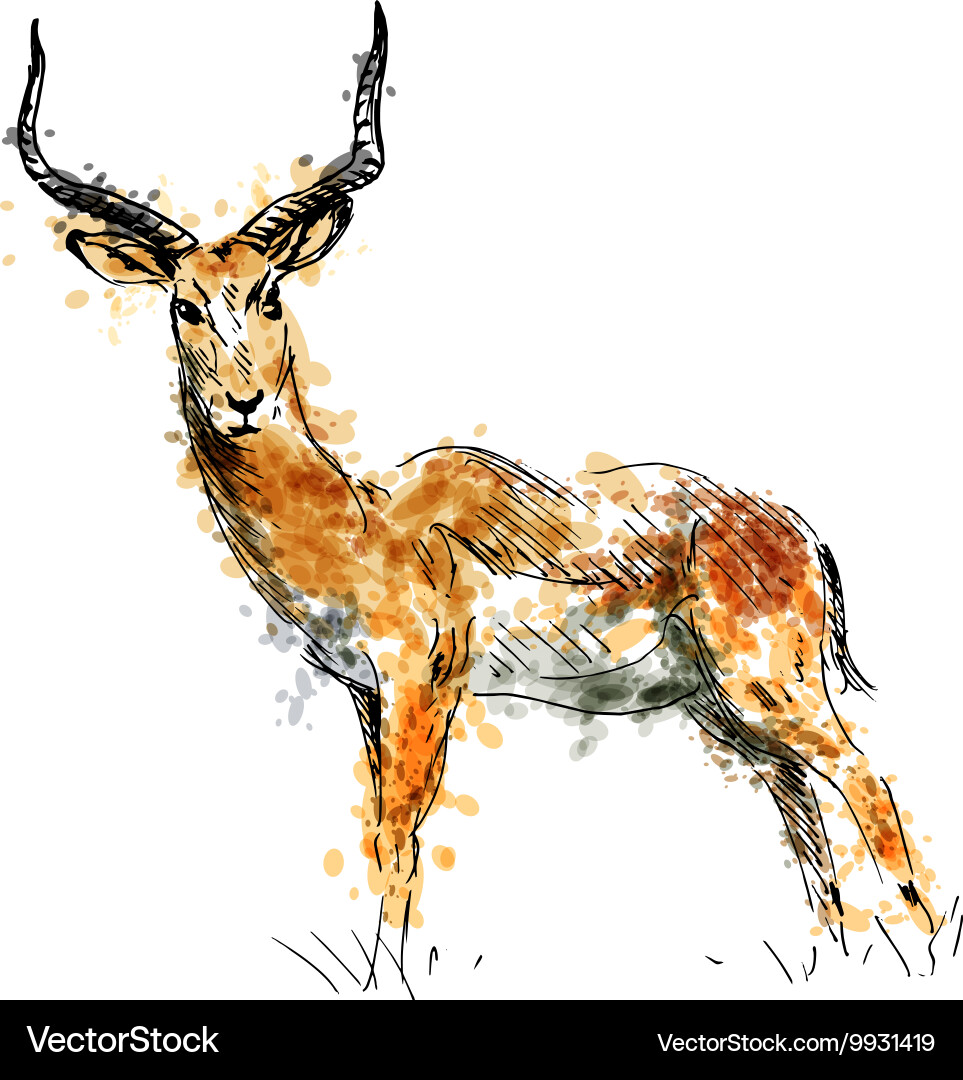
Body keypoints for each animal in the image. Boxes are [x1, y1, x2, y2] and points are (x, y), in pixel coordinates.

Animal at [16, 3, 940, 971]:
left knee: (867, 783)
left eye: (268, 293)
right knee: (801, 811)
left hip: (770, 685)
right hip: (722, 708)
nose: (242, 401)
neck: (361, 524)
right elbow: (384, 840)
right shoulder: (365, 694)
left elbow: (396, 843)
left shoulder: (422, 684)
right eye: (183, 303)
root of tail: (795, 528)